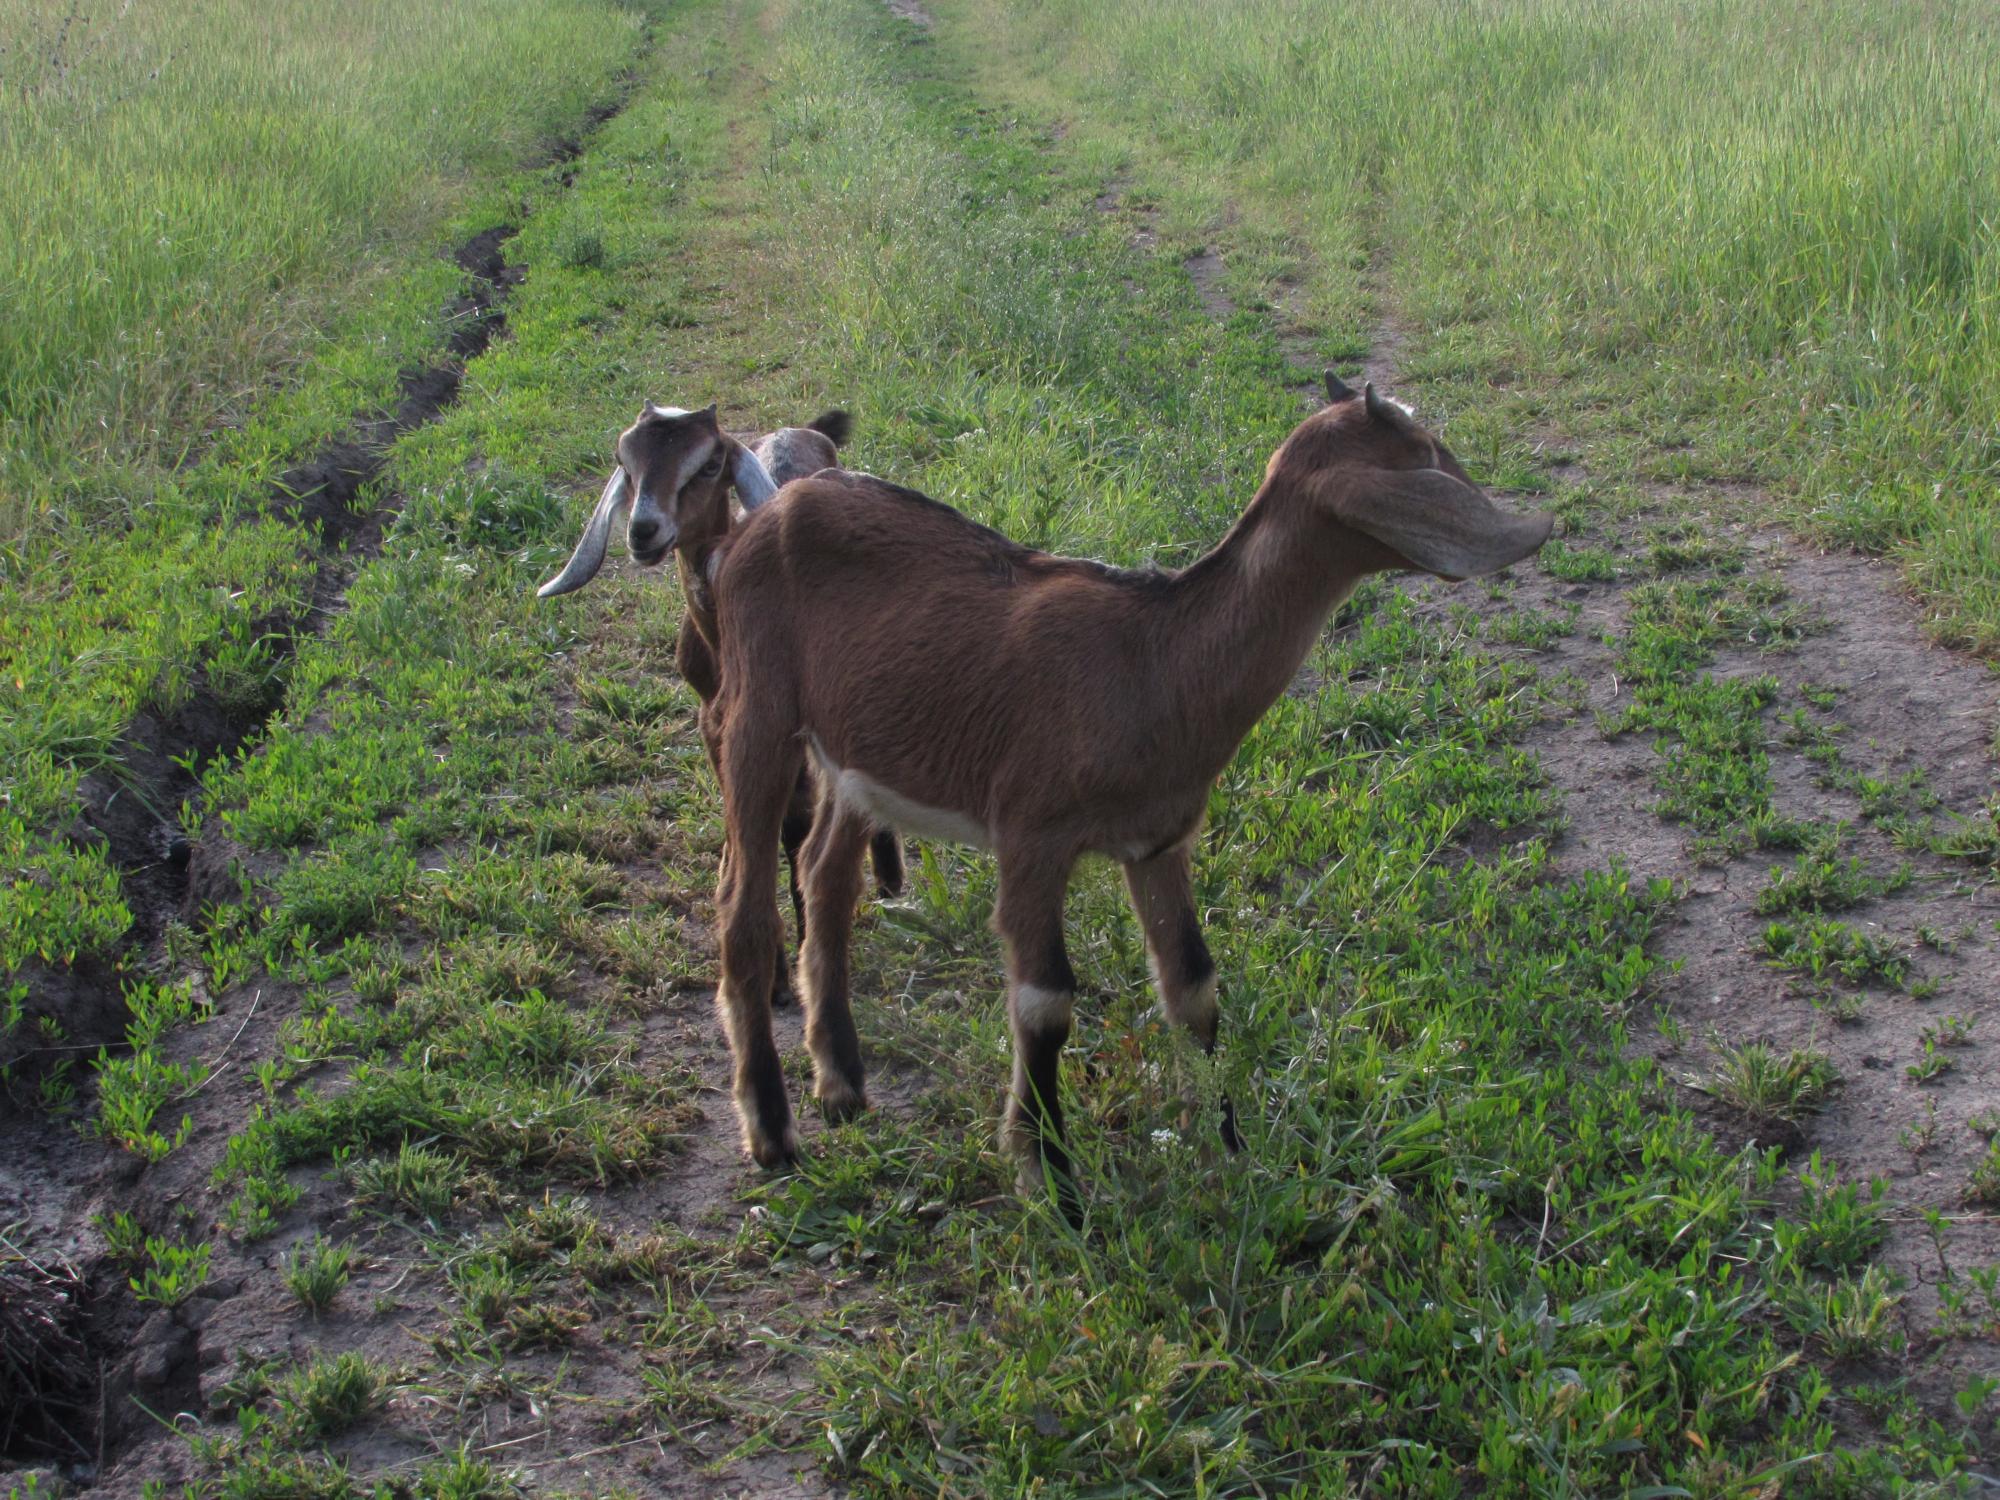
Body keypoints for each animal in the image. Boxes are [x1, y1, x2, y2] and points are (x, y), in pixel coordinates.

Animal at [536, 406, 904, 1004]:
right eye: (625, 459)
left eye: (709, 464)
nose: (643, 530)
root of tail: (802, 430)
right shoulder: (714, 727)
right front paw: (773, 970)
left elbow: (794, 823)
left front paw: (798, 953)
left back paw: (891, 877)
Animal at [704, 376, 1560, 1200]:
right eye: (1422, 452)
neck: (1152, 660)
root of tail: (769, 513)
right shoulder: (1032, 836)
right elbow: (1046, 1002)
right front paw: (1050, 1180)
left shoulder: (1158, 842)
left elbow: (1193, 985)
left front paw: (1227, 1152)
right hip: (757, 710)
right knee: (742, 908)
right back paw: (772, 1131)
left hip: (852, 755)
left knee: (823, 875)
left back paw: (842, 1085)